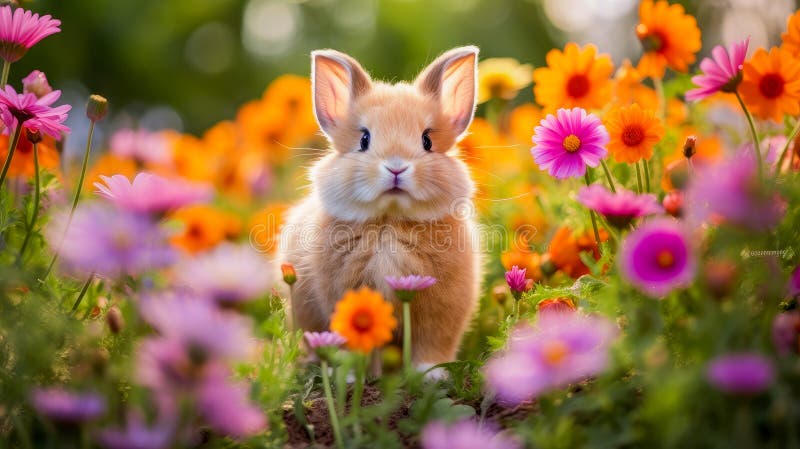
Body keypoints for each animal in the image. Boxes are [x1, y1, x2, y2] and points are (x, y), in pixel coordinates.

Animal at [279, 46, 482, 371]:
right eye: (364, 139)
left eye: (427, 140)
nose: (396, 167)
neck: (389, 221)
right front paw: (353, 374)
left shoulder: (440, 310)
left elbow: (431, 346)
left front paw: (431, 374)